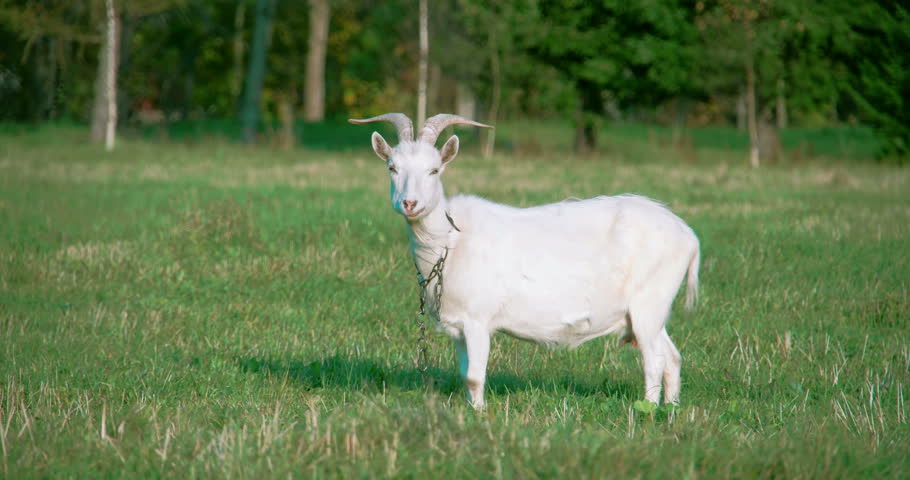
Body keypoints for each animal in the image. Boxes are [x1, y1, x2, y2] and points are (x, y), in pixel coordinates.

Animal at [349, 113, 700, 409]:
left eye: (434, 170)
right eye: (392, 168)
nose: (410, 203)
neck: (451, 240)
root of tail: (688, 236)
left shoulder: (478, 320)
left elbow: (475, 376)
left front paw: (480, 414)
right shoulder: (459, 327)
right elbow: (464, 374)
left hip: (649, 302)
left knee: (654, 360)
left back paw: (648, 411)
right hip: (650, 312)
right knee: (672, 357)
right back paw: (671, 409)